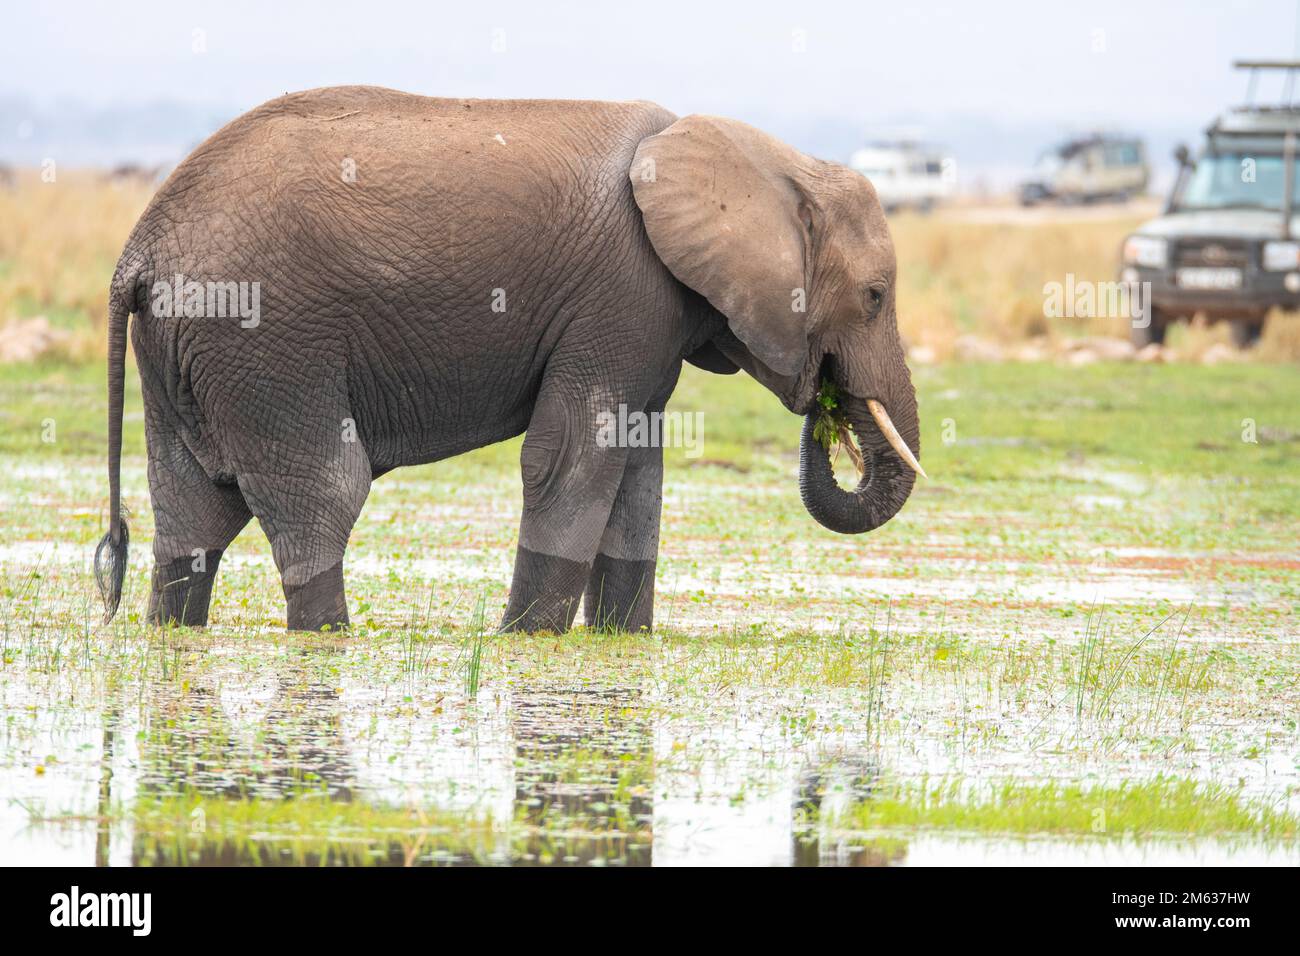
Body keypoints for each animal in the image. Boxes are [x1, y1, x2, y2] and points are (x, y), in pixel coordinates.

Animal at [94, 86, 922, 634]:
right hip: (265, 335)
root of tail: (138, 249)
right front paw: (527, 639)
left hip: (187, 348)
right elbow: (571, 457)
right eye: (876, 296)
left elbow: (639, 470)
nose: (827, 402)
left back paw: (173, 630)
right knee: (325, 490)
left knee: (192, 509)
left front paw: (620, 640)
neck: (770, 160)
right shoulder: (622, 293)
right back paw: (328, 639)